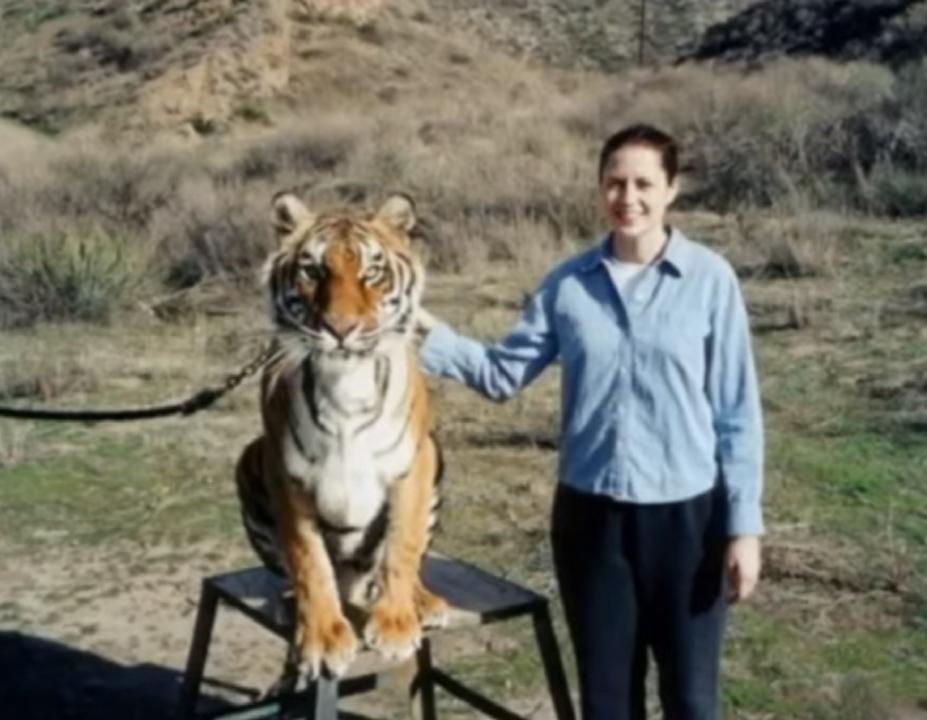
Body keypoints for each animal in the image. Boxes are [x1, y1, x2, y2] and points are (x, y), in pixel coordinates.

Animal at [235, 192, 447, 681]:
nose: (342, 329)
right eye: (313, 271)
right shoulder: (284, 473)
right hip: (249, 460)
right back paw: (291, 603)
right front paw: (322, 639)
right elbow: (308, 560)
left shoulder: (412, 464)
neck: (348, 380)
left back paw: (424, 602)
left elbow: (402, 546)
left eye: (372, 272)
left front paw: (395, 626)